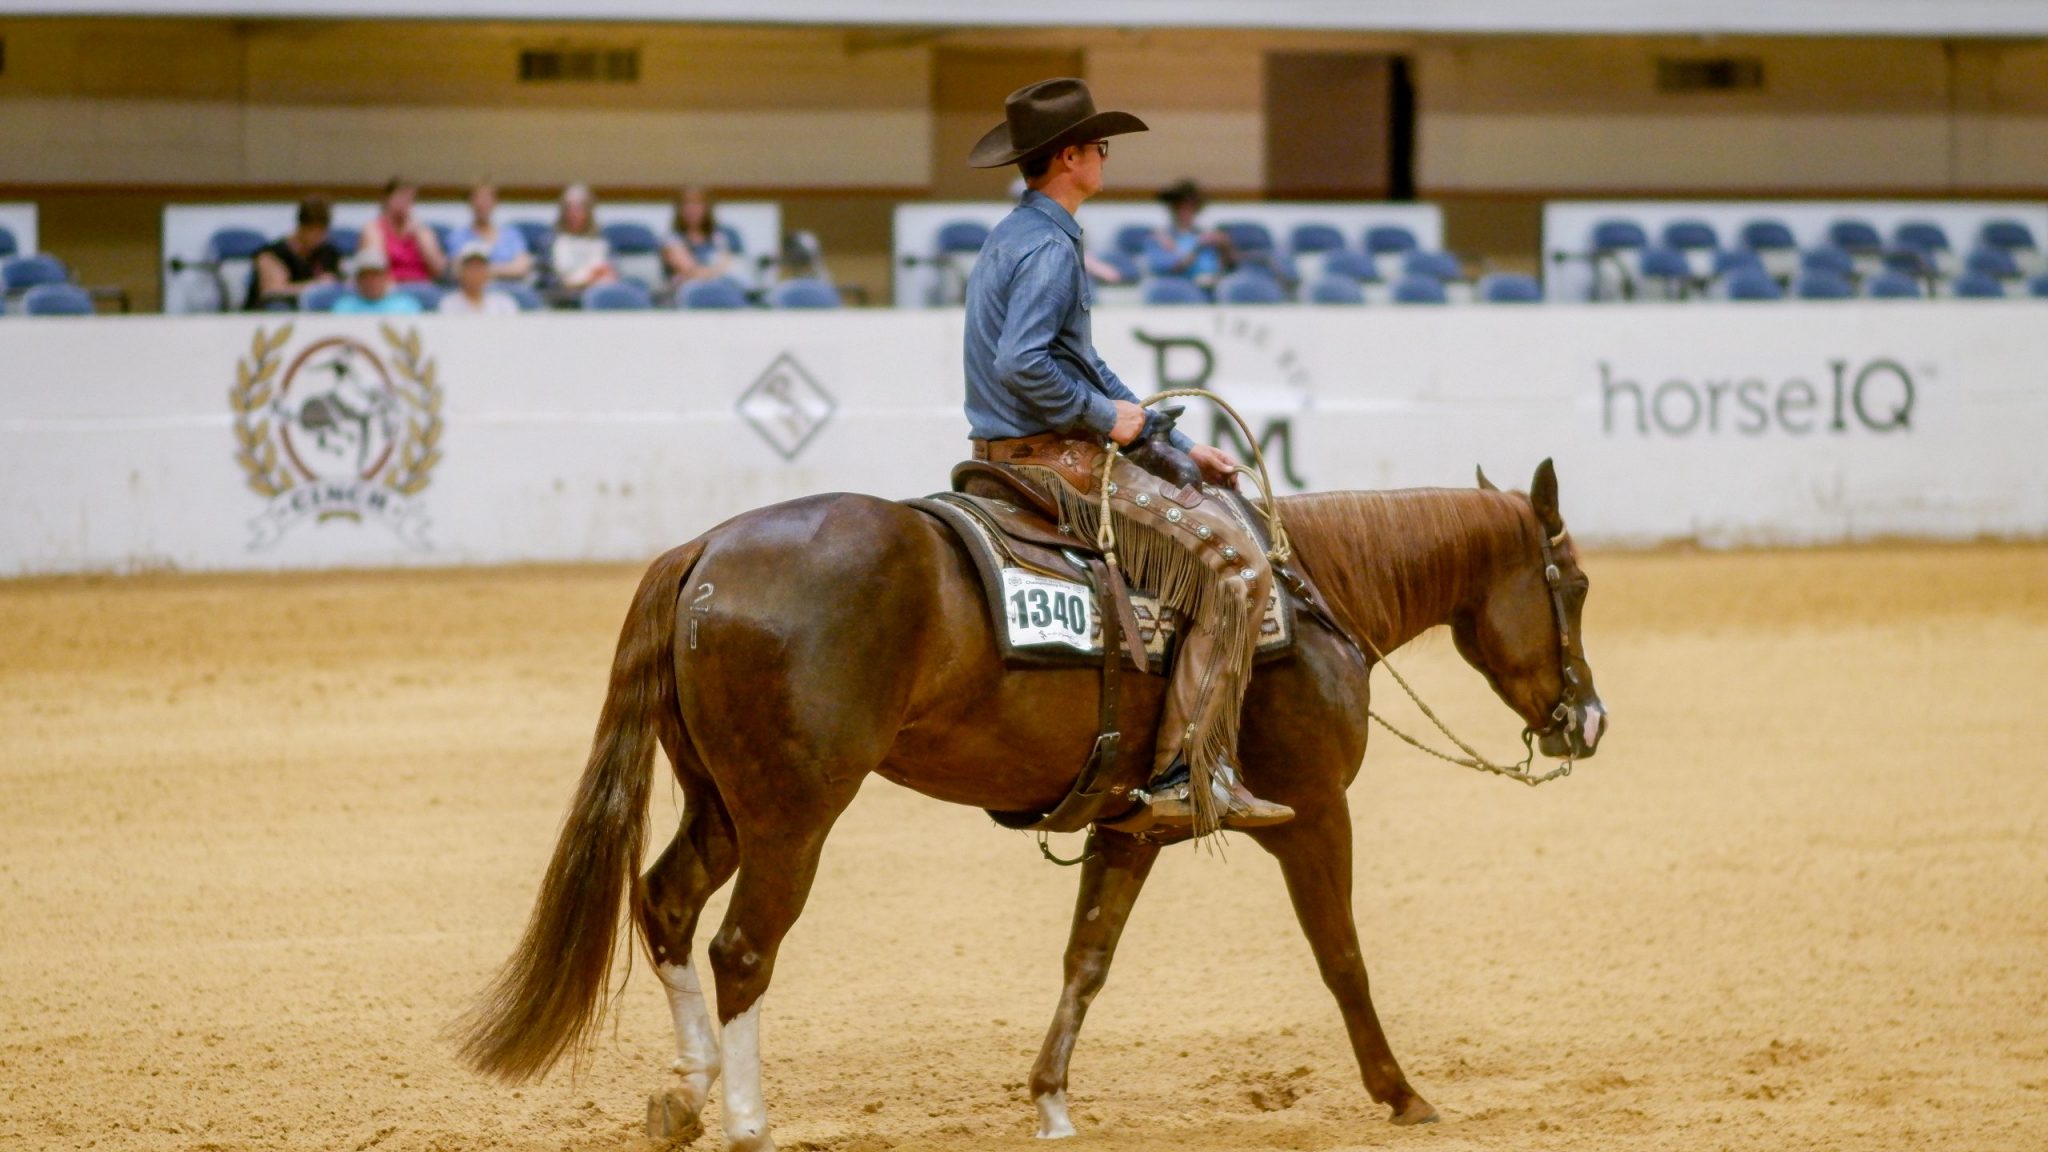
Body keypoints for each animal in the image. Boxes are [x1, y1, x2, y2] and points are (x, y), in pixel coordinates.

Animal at [454, 459, 1608, 1149]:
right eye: (1576, 585)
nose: (1586, 720)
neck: (1307, 593)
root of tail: (704, 551)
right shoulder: (1316, 811)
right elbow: (1343, 959)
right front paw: (1401, 1092)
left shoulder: (1131, 823)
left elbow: (1086, 957)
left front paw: (1050, 1099)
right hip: (791, 817)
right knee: (741, 950)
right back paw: (747, 1120)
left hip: (721, 806)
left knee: (666, 908)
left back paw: (684, 1096)